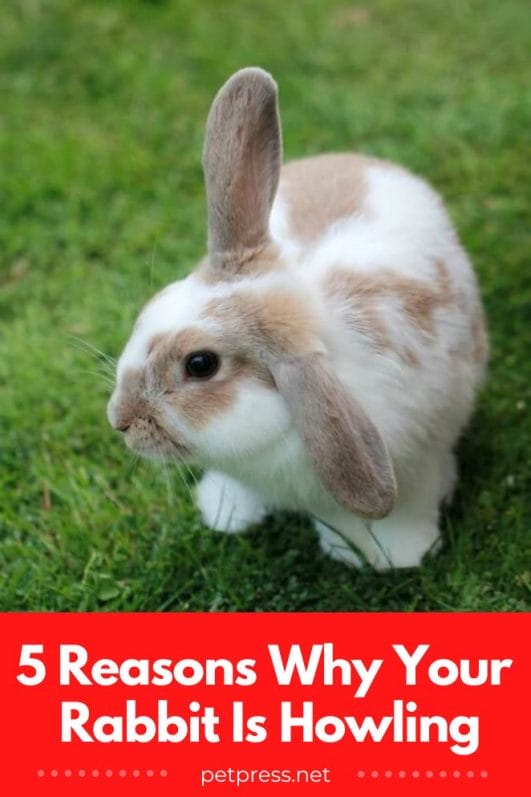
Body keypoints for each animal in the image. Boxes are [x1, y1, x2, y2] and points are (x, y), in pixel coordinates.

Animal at [107, 67, 487, 570]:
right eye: (155, 305)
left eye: (200, 364)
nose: (120, 419)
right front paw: (225, 513)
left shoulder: (414, 464)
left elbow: (403, 512)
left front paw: (399, 555)